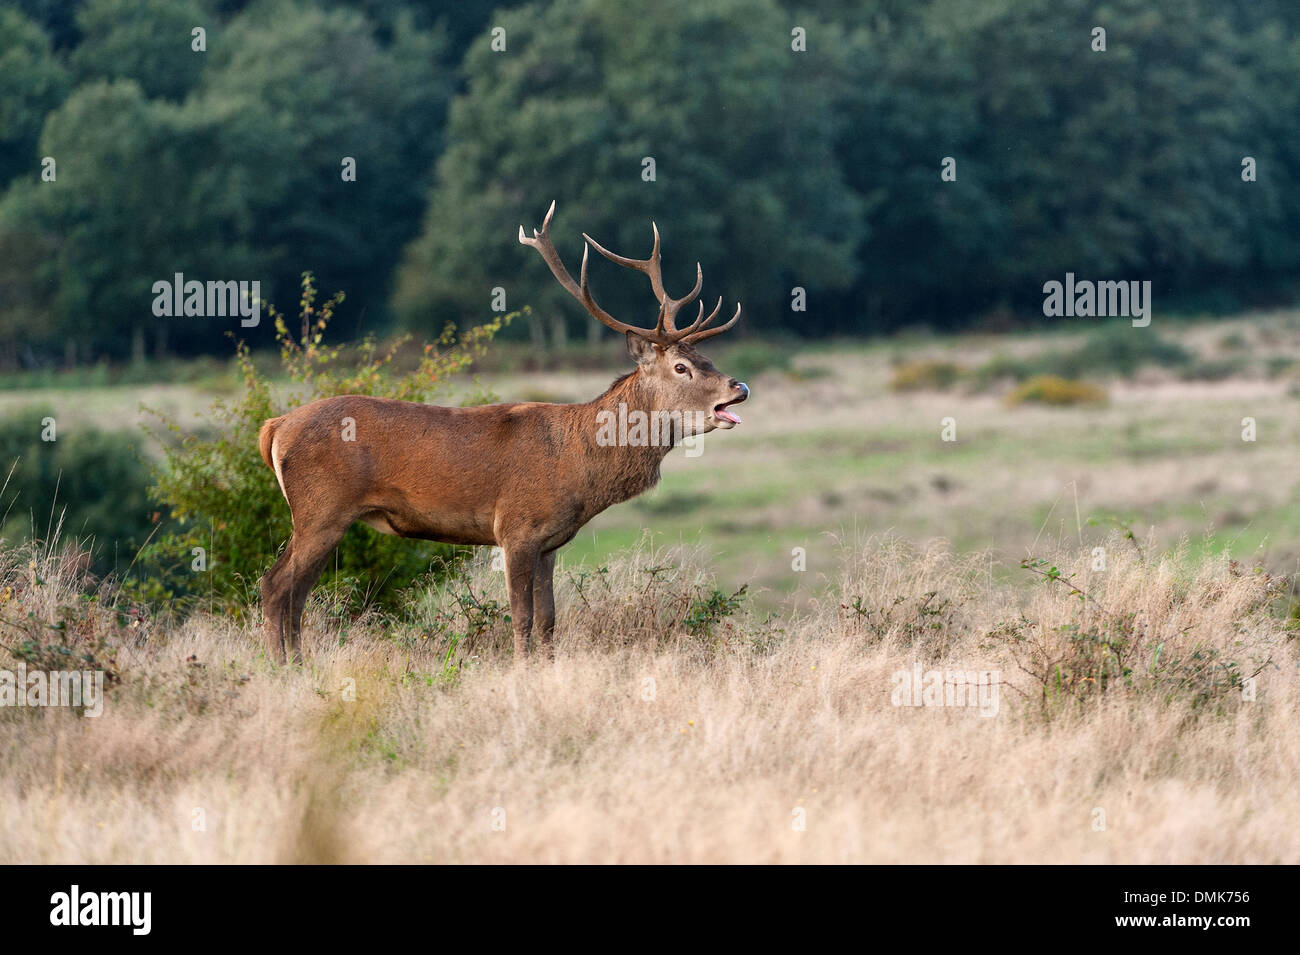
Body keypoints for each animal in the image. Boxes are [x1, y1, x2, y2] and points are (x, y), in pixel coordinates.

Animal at [258, 201, 749, 664]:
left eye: (706, 359)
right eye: (681, 367)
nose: (739, 387)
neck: (579, 463)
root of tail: (275, 428)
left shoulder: (550, 542)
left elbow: (549, 620)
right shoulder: (515, 527)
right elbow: (522, 617)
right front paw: (519, 671)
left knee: (292, 592)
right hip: (321, 509)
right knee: (276, 585)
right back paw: (286, 667)